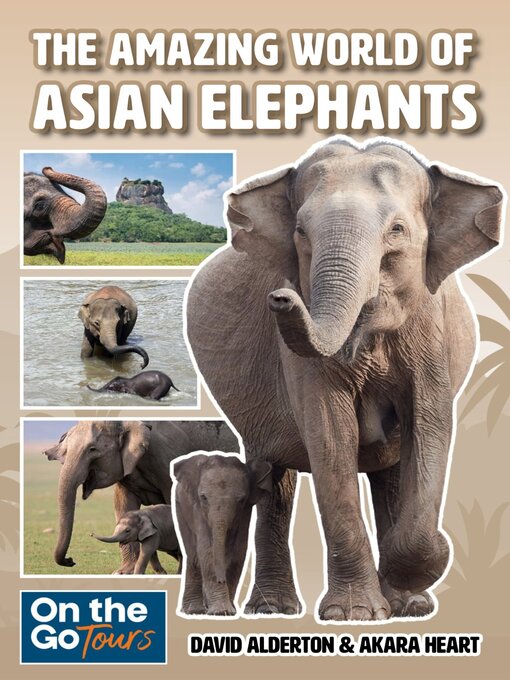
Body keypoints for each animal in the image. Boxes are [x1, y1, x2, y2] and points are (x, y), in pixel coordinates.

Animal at [171, 453, 273, 616]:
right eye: (203, 497)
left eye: (241, 500)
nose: (221, 580)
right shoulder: (197, 508)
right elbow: (208, 550)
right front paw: (220, 612)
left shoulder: (245, 512)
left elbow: (238, 550)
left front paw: (229, 611)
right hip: (180, 506)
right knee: (193, 555)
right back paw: (194, 610)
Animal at [186, 137, 504, 622]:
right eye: (300, 232)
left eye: (397, 230)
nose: (281, 297)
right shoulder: (297, 359)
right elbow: (330, 433)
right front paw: (352, 615)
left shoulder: (431, 330)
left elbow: (430, 425)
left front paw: (404, 581)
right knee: (273, 477)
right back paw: (274, 609)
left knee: (390, 471)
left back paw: (408, 605)